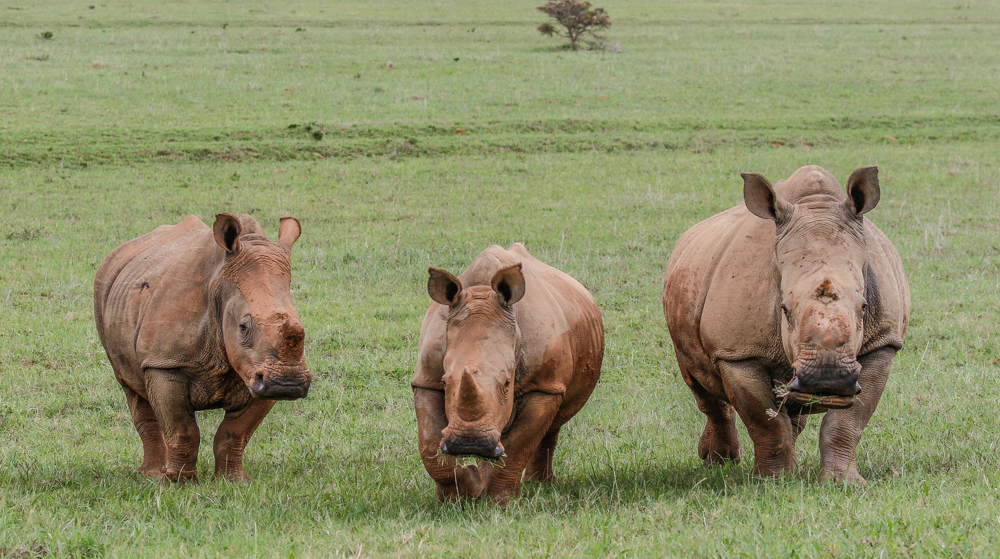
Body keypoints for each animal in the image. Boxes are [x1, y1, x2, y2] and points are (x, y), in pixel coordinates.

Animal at [94, 213, 312, 482]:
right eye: (242, 327)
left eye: (301, 326)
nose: (288, 384)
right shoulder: (165, 362)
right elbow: (182, 431)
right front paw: (180, 483)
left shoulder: (260, 375)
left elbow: (234, 433)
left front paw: (233, 482)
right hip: (104, 287)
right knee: (131, 387)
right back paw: (152, 475)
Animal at [413, 244, 604, 504]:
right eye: (446, 380)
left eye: (507, 383)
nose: (470, 444)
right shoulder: (426, 379)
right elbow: (430, 444)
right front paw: (461, 496)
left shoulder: (543, 385)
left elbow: (518, 446)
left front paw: (501, 502)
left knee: (551, 425)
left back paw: (540, 486)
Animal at [663, 166, 910, 483]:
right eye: (784, 309)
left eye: (864, 307)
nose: (827, 378)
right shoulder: (738, 352)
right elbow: (764, 420)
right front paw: (773, 481)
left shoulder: (883, 341)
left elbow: (847, 422)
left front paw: (843, 482)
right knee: (703, 388)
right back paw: (719, 464)